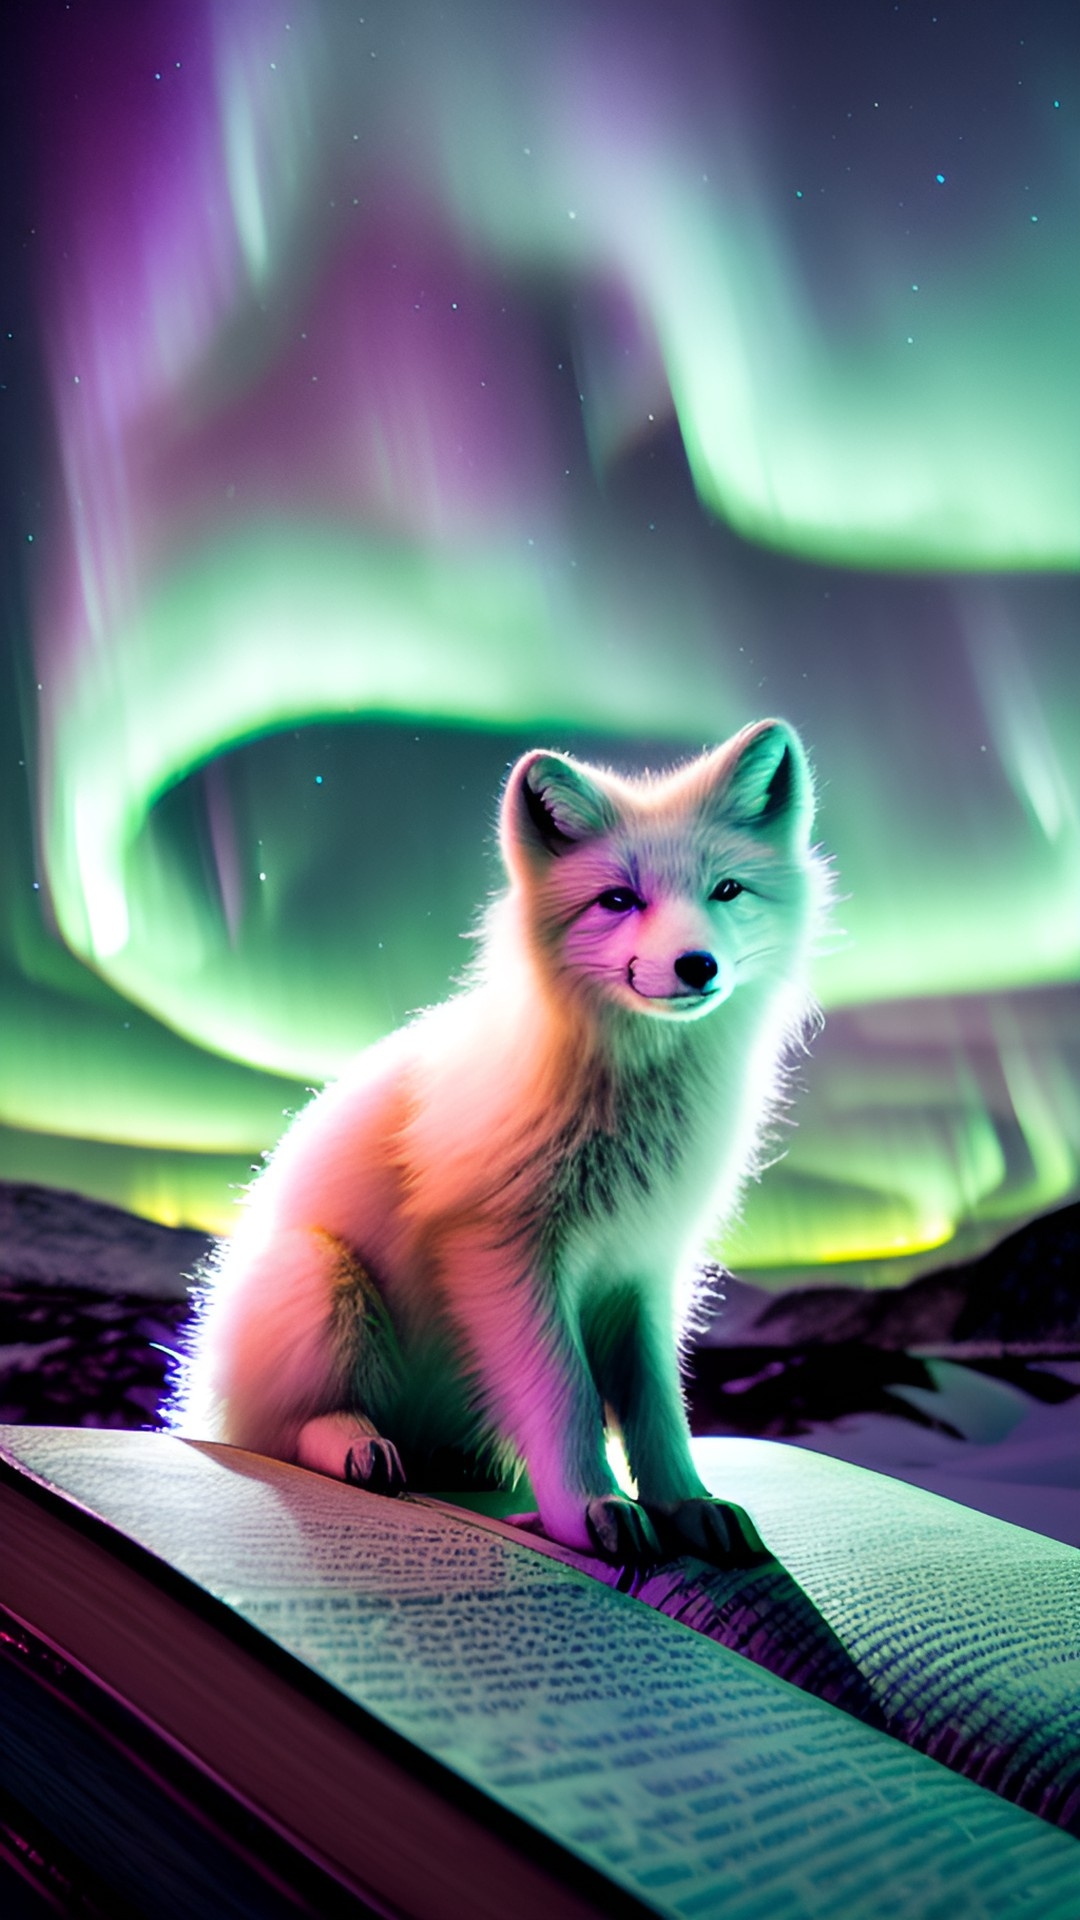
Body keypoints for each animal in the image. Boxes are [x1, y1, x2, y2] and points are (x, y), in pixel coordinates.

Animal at [168, 718, 828, 1563]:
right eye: (618, 900)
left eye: (728, 891)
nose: (696, 964)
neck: (631, 1095)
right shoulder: (503, 1248)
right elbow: (565, 1394)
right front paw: (590, 1513)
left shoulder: (646, 1265)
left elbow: (656, 1407)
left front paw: (687, 1504)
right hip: (323, 1281)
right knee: (285, 1430)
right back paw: (358, 1446)